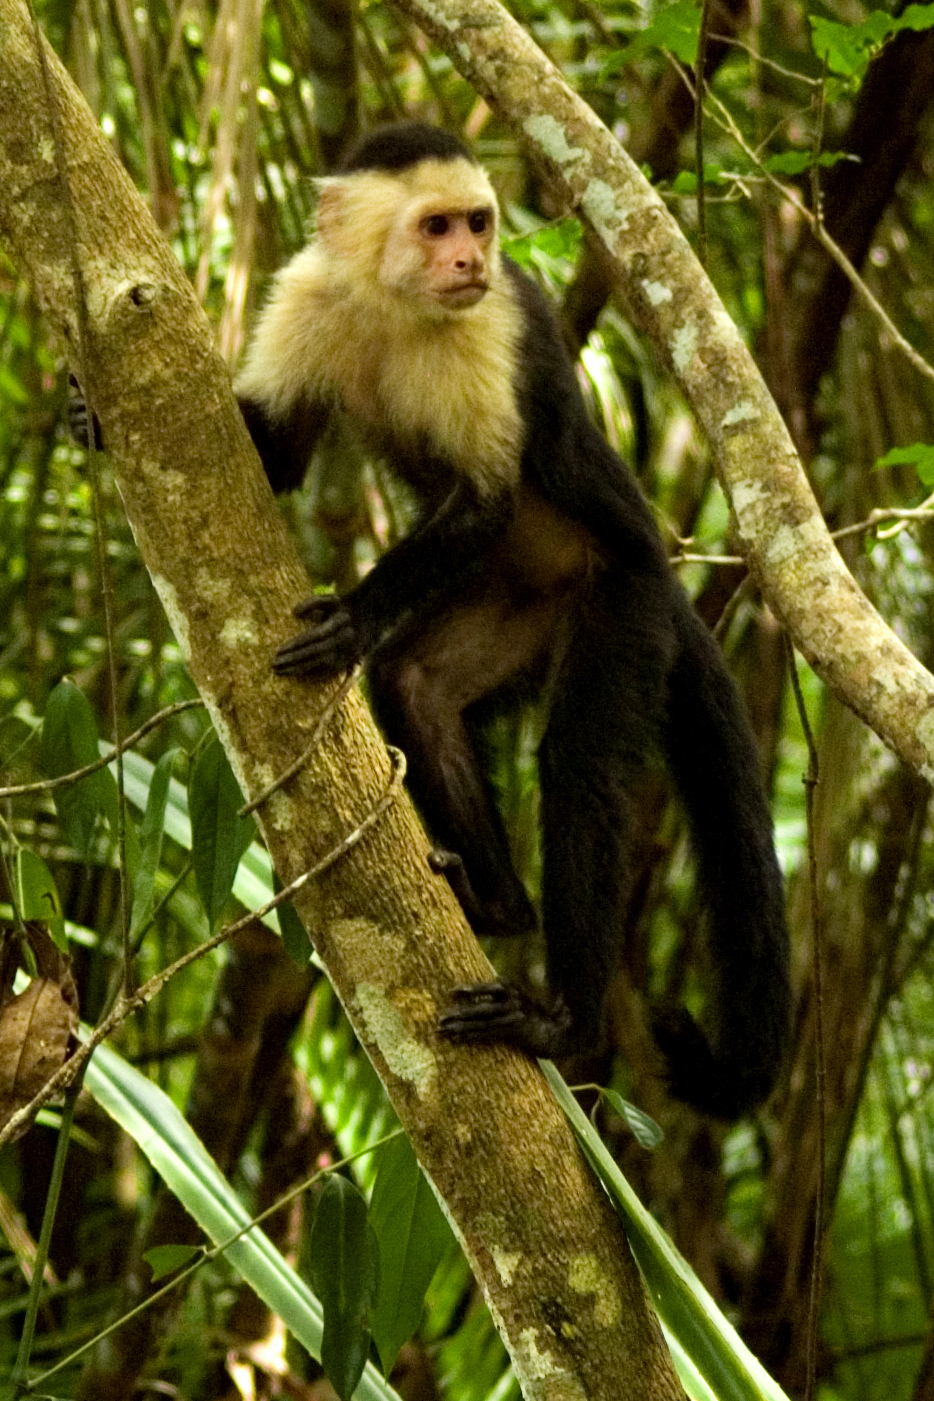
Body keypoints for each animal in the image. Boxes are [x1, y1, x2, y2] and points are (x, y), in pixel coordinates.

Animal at [72, 122, 790, 1118]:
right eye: (437, 224)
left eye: (479, 224)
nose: (469, 259)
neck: (395, 300)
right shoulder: (310, 293)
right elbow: (276, 454)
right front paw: (96, 419)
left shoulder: (493, 325)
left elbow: (483, 500)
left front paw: (353, 613)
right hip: (512, 606)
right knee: (419, 686)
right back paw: (498, 905)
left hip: (624, 605)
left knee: (580, 770)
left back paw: (562, 1021)